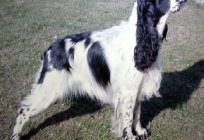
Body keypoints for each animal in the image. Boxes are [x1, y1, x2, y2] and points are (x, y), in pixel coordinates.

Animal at [10, 0, 186, 139]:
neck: (139, 38)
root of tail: (50, 49)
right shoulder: (128, 92)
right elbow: (128, 118)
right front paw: (130, 136)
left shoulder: (137, 88)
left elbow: (137, 113)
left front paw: (141, 131)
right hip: (48, 90)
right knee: (23, 111)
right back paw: (15, 136)